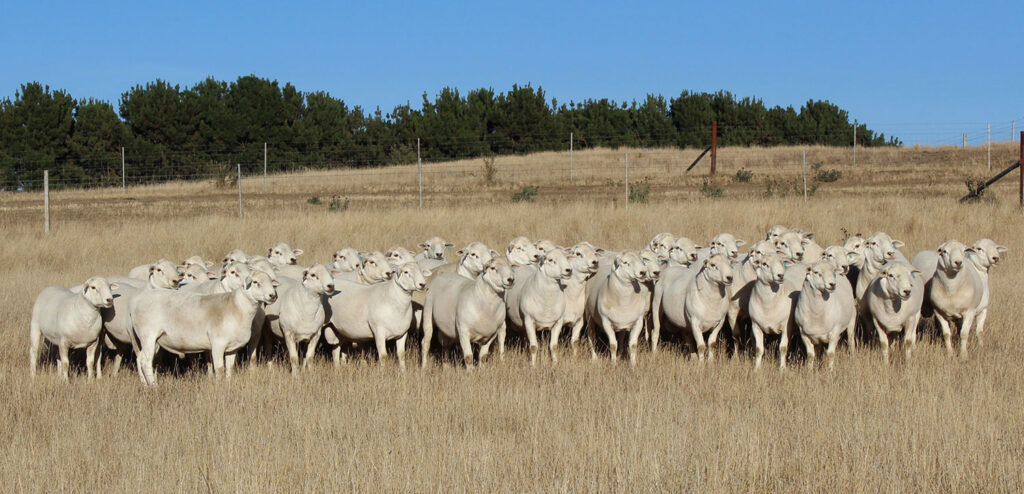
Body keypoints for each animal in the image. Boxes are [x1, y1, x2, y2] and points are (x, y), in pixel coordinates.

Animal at [130, 271, 280, 385]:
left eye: (271, 282)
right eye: (255, 282)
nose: (273, 295)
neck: (236, 307)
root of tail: (135, 303)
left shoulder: (232, 347)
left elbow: (229, 368)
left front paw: (228, 384)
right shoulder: (218, 343)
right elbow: (219, 369)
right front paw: (220, 387)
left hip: (155, 340)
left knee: (140, 358)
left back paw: (144, 384)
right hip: (148, 335)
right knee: (146, 361)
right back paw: (153, 386)